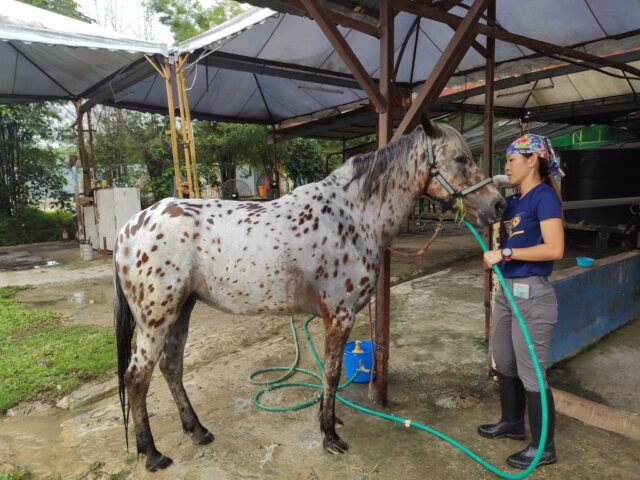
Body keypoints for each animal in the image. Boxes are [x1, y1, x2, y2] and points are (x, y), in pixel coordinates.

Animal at [113, 119, 506, 471]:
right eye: (460, 158)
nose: (499, 205)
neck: (352, 216)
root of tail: (131, 228)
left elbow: (329, 374)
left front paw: (328, 422)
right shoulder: (340, 316)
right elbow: (331, 374)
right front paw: (330, 435)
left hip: (182, 310)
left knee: (171, 367)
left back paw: (197, 430)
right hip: (155, 320)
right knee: (137, 378)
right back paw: (153, 454)